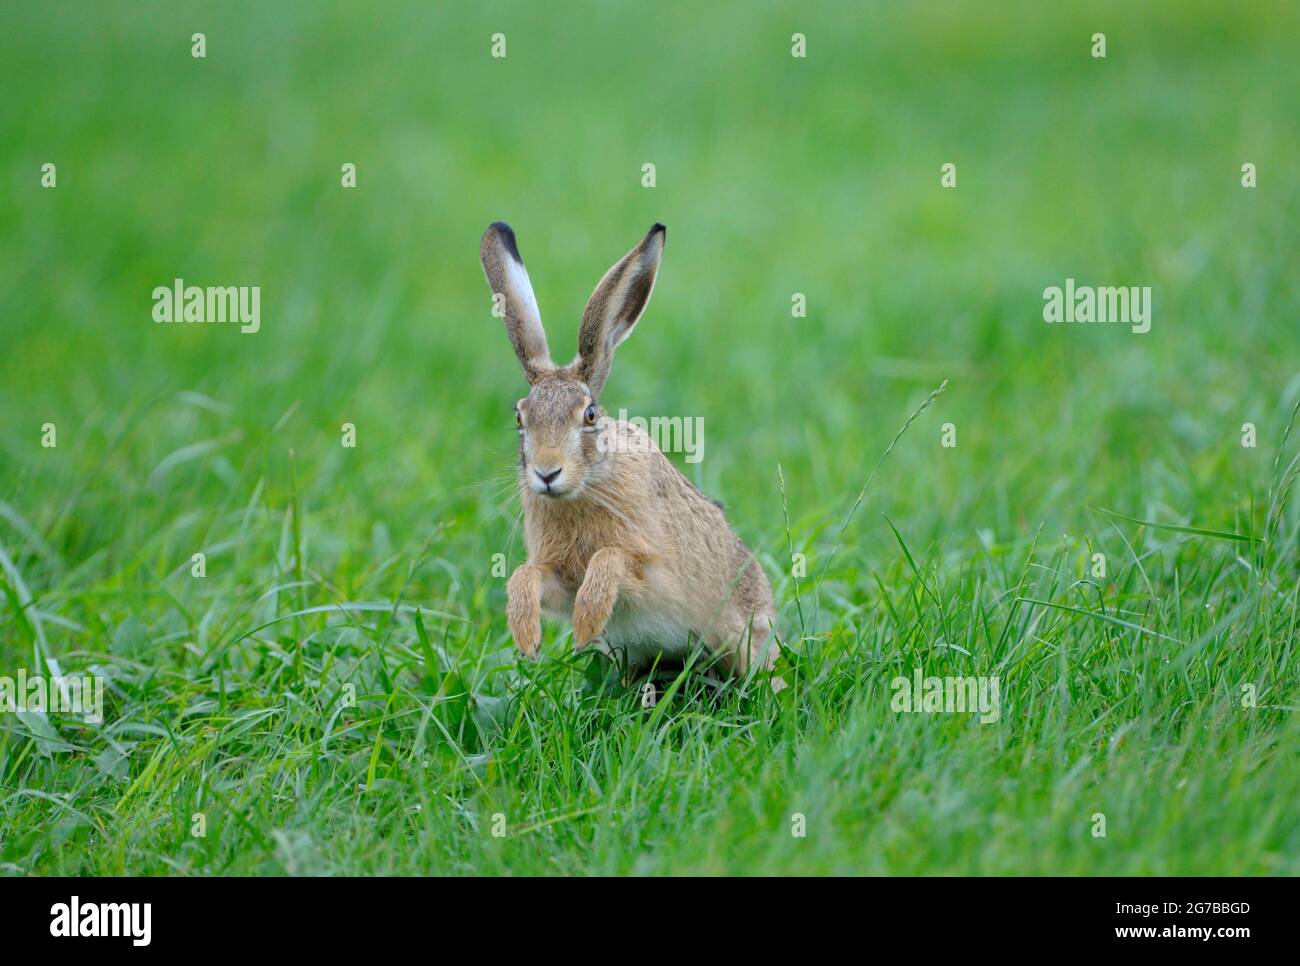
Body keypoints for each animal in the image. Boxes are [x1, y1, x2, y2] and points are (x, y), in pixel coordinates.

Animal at [479, 221, 780, 686]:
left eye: (589, 415)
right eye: (519, 417)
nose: (547, 473)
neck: (589, 483)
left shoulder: (656, 576)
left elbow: (612, 558)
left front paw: (586, 623)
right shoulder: (558, 575)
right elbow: (526, 574)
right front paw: (526, 635)